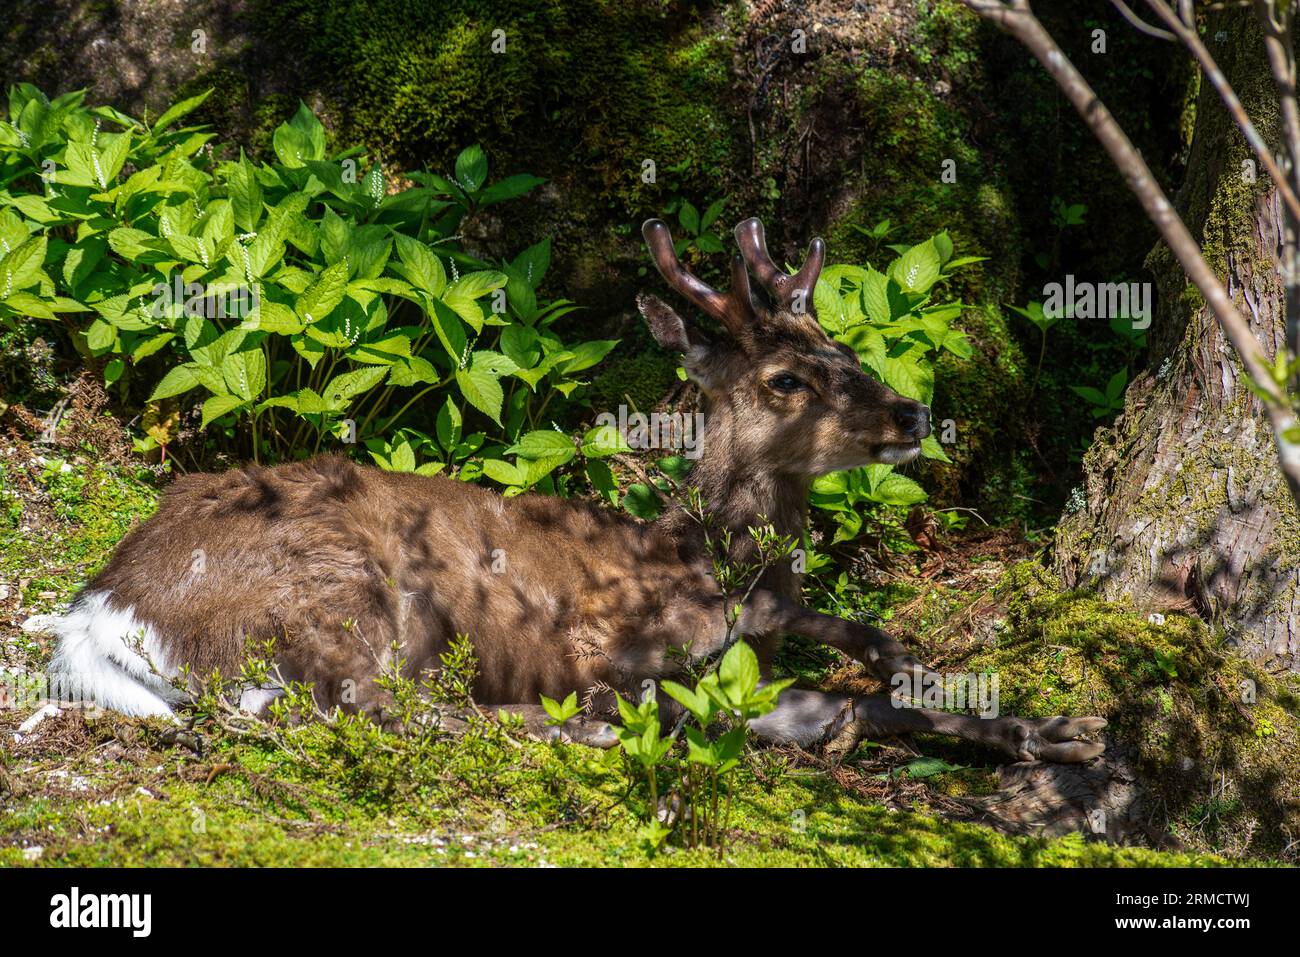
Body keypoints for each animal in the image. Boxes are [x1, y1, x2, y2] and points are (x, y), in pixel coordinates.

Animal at [30, 217, 1106, 764]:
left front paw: (1060, 732)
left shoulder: (736, 666)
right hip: (349, 593)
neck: (692, 568)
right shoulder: (601, 642)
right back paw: (583, 728)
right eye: (786, 379)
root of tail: (100, 610)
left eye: (839, 343)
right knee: (370, 709)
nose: (912, 412)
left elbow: (862, 704)